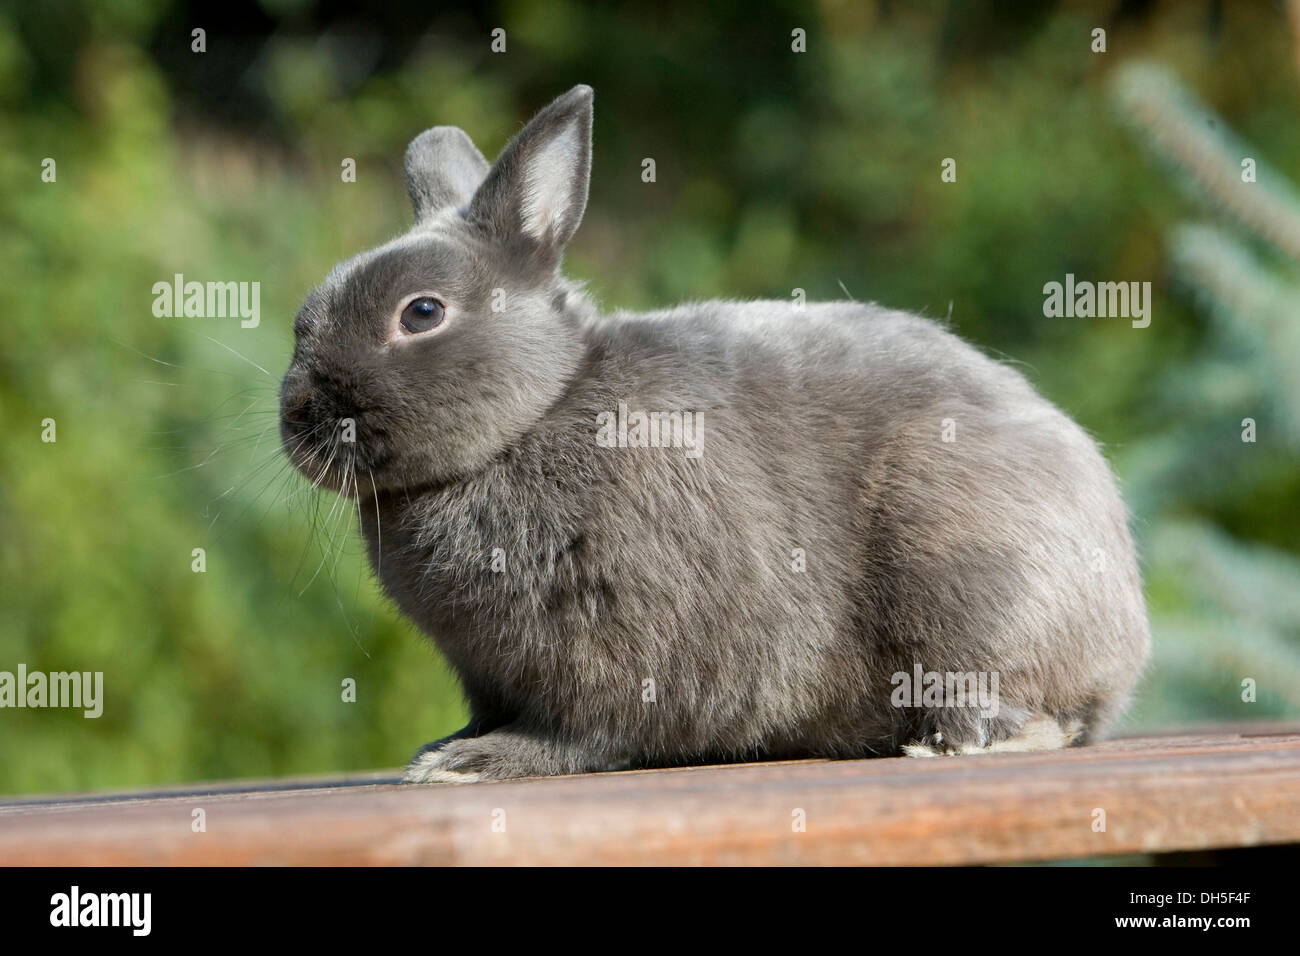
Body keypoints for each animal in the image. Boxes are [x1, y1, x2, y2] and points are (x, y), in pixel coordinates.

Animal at [278, 85, 1150, 782]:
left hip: (968, 577)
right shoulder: (488, 673)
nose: (299, 412)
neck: (538, 410)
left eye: (422, 313)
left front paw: (472, 763)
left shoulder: (618, 640)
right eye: (303, 318)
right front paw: (445, 748)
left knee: (1042, 715)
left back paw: (952, 743)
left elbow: (579, 731)